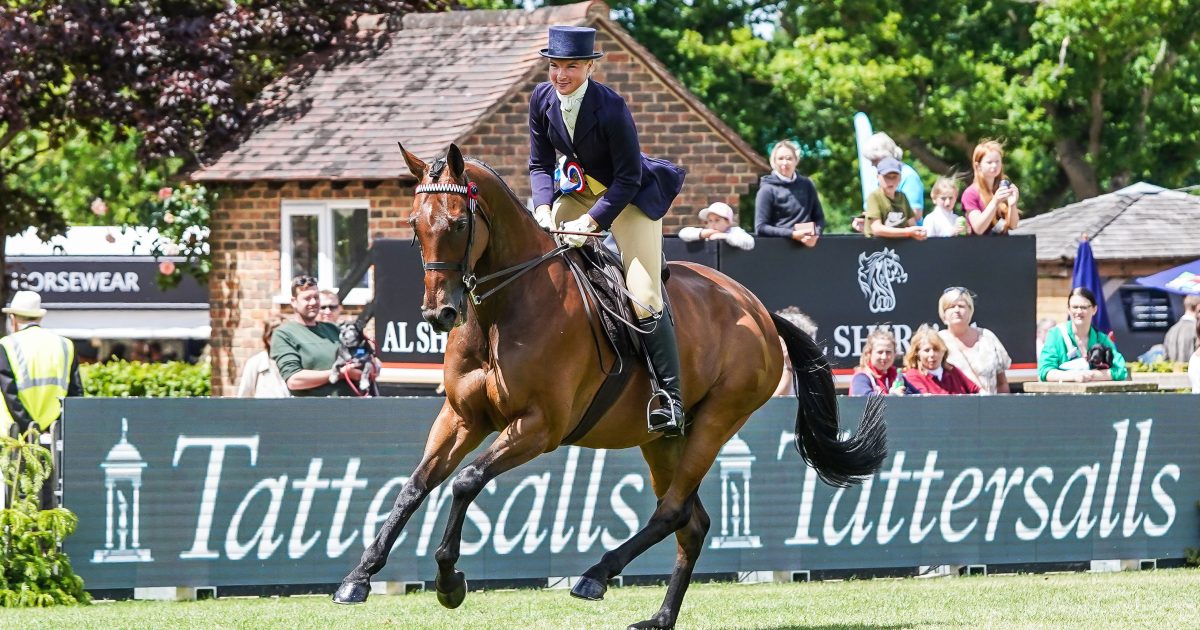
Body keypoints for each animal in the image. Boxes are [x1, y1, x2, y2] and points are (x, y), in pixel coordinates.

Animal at [333, 142, 888, 630]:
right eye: (415, 226)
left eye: (459, 223)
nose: (439, 314)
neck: (504, 309)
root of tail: (760, 310)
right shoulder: (462, 417)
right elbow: (415, 486)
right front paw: (358, 577)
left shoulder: (539, 427)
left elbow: (466, 481)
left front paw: (450, 581)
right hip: (663, 440)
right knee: (692, 523)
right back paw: (659, 618)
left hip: (716, 420)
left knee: (672, 512)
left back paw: (595, 576)